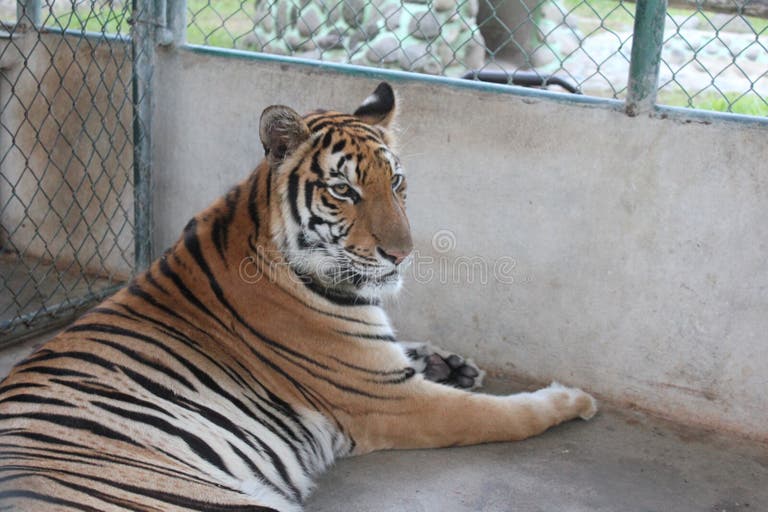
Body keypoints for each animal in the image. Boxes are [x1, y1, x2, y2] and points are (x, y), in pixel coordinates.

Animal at [0, 82, 597, 511]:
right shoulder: (392, 401)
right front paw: (572, 399)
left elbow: (414, 349)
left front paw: (454, 364)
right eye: (344, 190)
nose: (401, 254)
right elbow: (511, 414)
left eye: (396, 182)